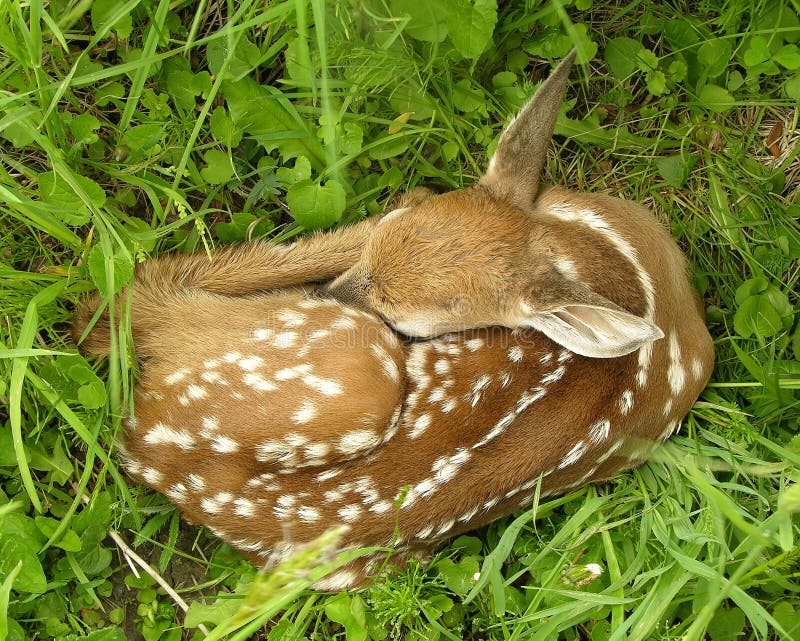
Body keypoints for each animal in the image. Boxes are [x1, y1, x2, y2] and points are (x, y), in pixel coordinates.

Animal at [72, 51, 714, 591]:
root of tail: (151, 454)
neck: (625, 272)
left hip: (357, 370)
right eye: (384, 234)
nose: (328, 293)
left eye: (413, 322)